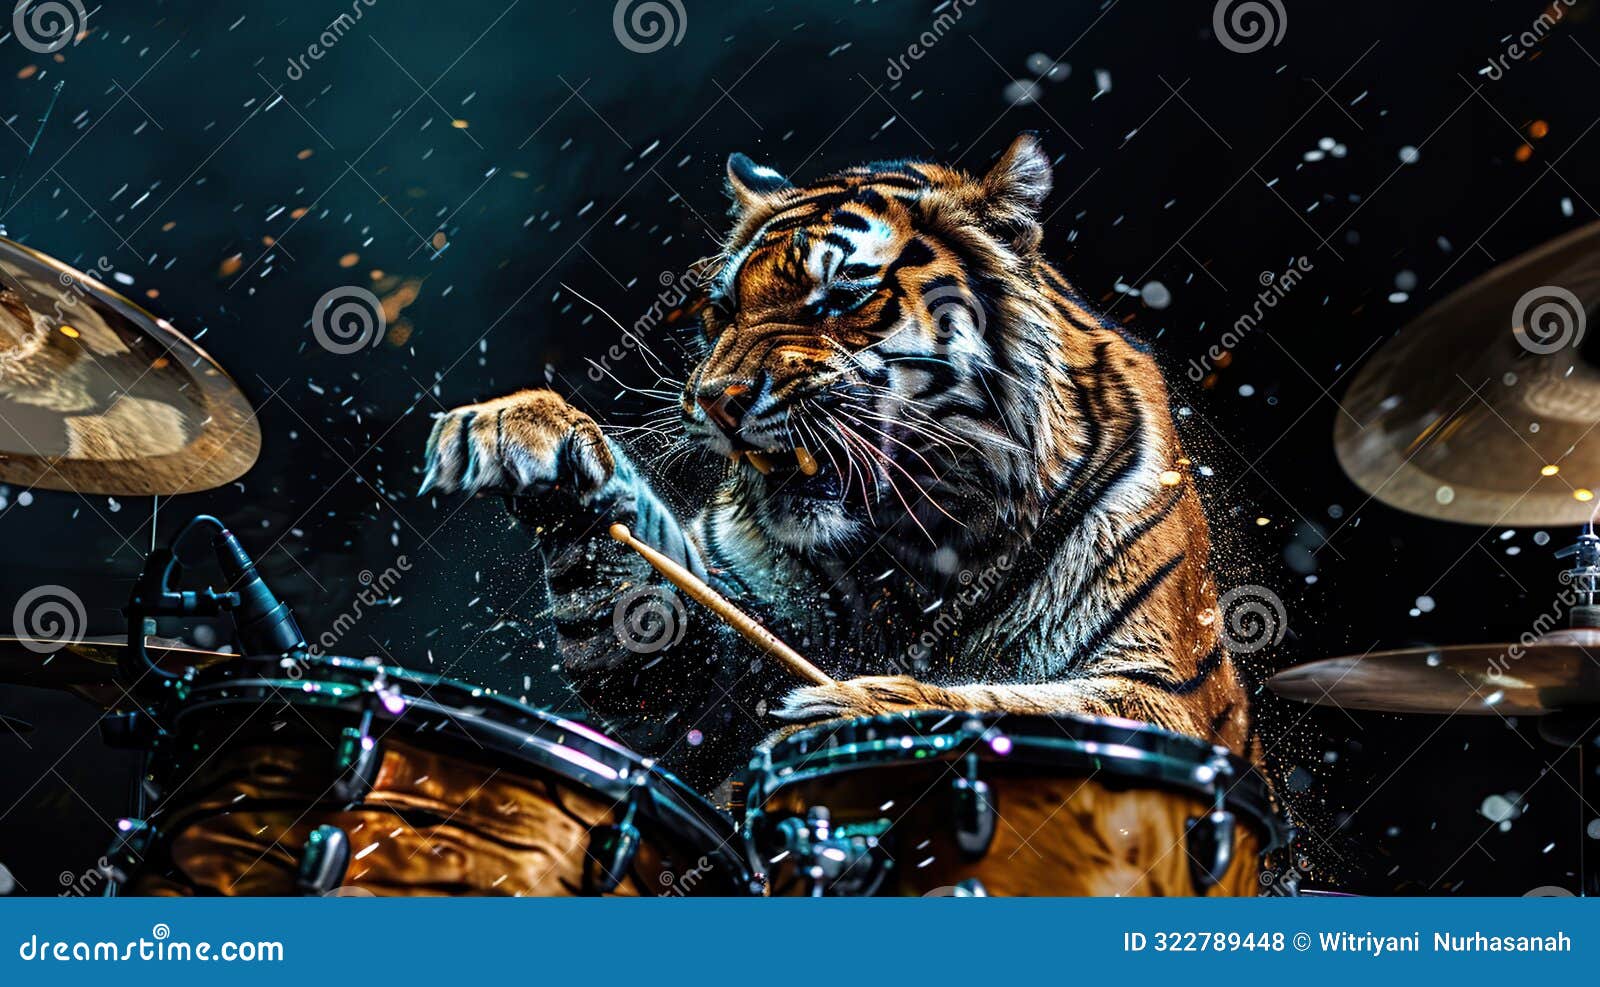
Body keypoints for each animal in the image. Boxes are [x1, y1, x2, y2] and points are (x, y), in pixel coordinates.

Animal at [419, 133, 1250, 788]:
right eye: (722, 310)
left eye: (839, 300)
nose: (716, 399)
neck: (919, 538)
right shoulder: (708, 669)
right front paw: (526, 433)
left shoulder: (1167, 692)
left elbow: (1017, 702)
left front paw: (859, 704)